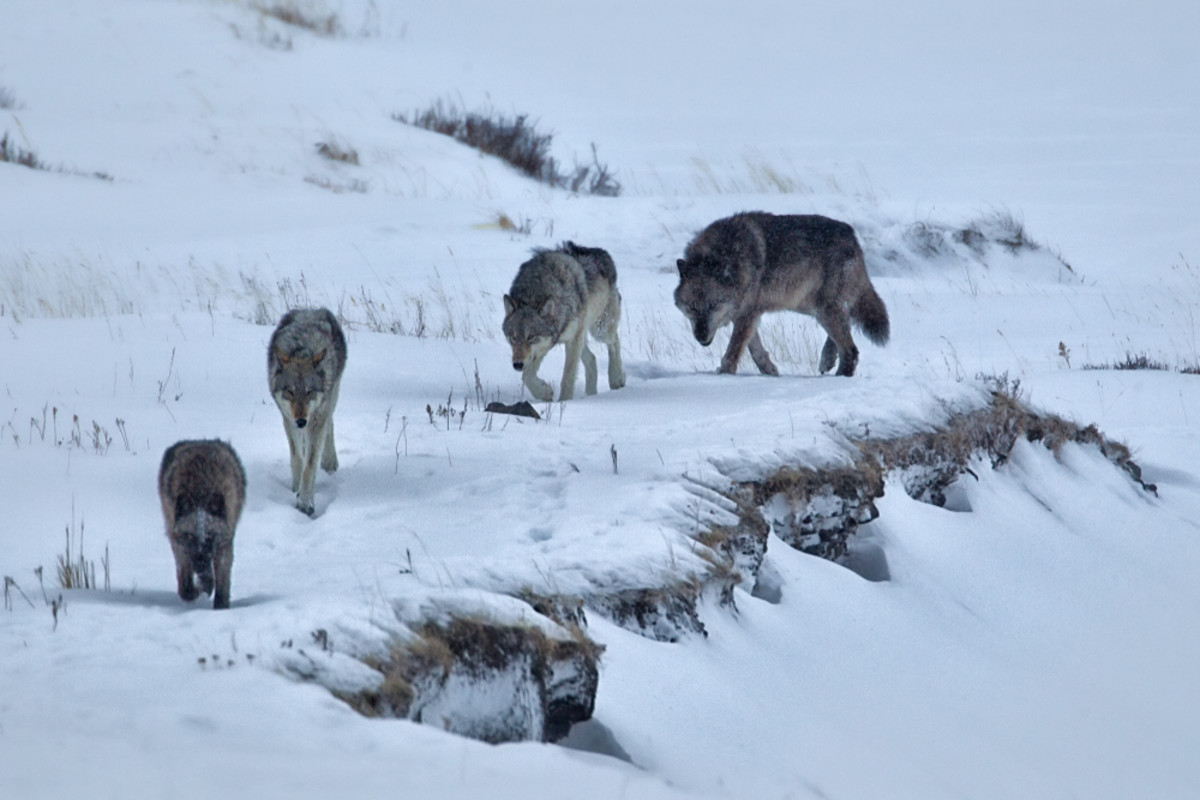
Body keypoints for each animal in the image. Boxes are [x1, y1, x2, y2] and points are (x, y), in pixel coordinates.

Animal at [158, 439, 246, 610]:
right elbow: (185, 588)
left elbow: (222, 581)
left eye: (210, 537)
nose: (200, 566)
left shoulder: (223, 544)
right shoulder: (181, 545)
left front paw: (221, 606)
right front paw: (200, 589)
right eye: (190, 536)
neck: (200, 491)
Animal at [268, 308, 347, 516]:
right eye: (290, 391)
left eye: (310, 391)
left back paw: (330, 463)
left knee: (330, 425)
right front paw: (295, 489)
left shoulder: (317, 418)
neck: (302, 350)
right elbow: (297, 457)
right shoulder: (288, 419)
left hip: (331, 398)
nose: (302, 421)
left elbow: (310, 465)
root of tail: (311, 309)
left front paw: (305, 502)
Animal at [502, 241, 626, 402]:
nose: (517, 364)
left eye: (531, 337)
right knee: (592, 358)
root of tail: (601, 253)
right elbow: (526, 377)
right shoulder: (546, 345)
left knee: (614, 342)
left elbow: (568, 376)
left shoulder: (571, 340)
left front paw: (564, 402)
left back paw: (617, 379)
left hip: (600, 331)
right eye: (513, 338)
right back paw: (591, 394)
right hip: (583, 336)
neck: (535, 293)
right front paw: (545, 393)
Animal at [674, 212, 889, 377]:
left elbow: (733, 351)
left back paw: (837, 378)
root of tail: (852, 234)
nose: (700, 336)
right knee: (847, 326)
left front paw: (724, 376)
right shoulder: (749, 315)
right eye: (692, 307)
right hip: (811, 307)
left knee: (851, 349)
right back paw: (827, 360)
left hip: (822, 309)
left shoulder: (747, 315)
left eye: (713, 305)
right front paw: (770, 372)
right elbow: (756, 351)